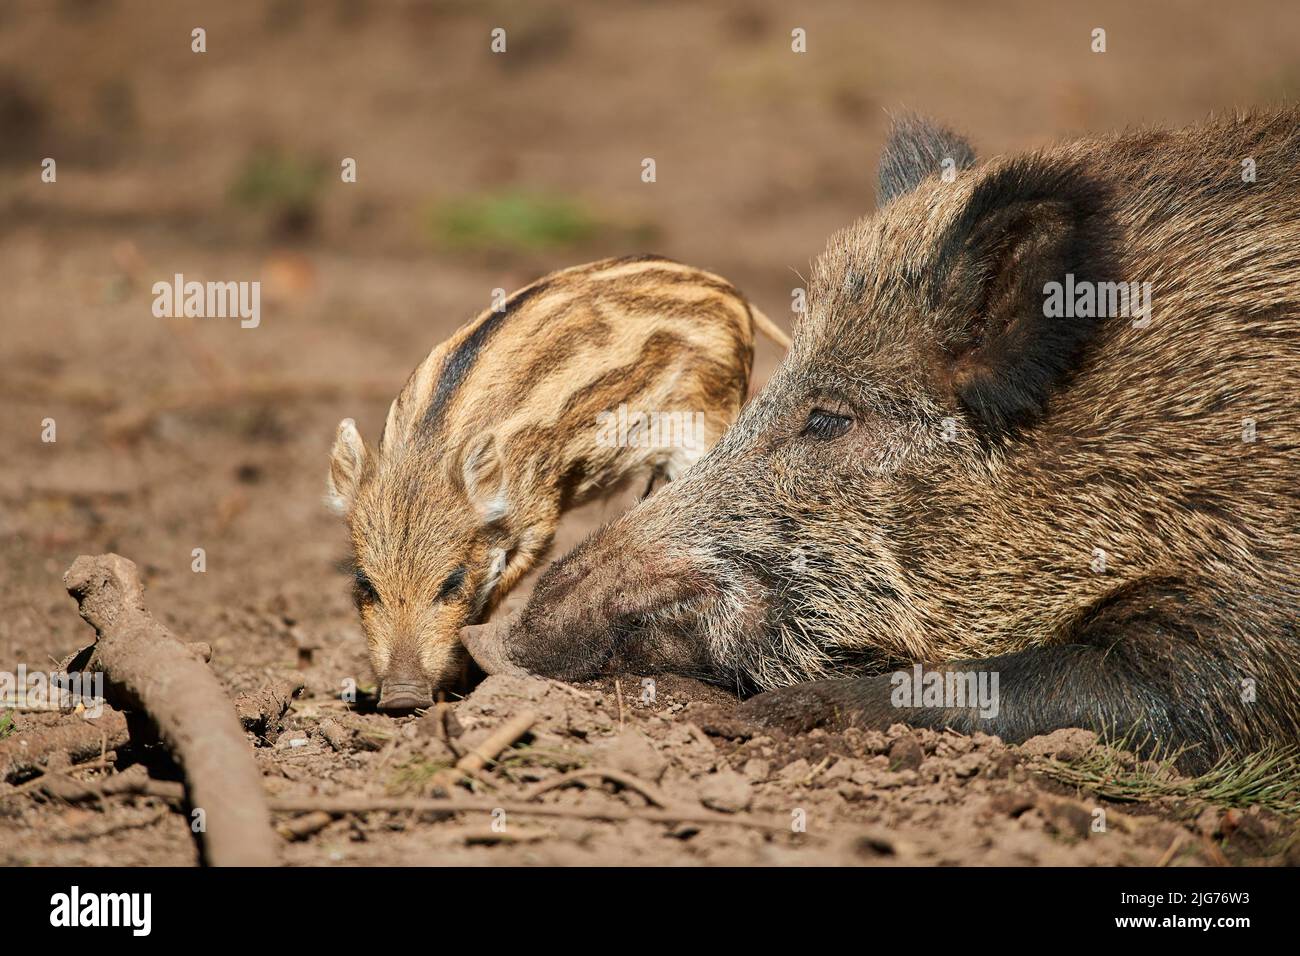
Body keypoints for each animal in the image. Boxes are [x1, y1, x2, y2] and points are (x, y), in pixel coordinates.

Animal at [327, 255, 789, 712]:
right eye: (364, 583)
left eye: (453, 581)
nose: (401, 698)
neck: (427, 453)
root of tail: (730, 291)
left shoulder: (540, 512)